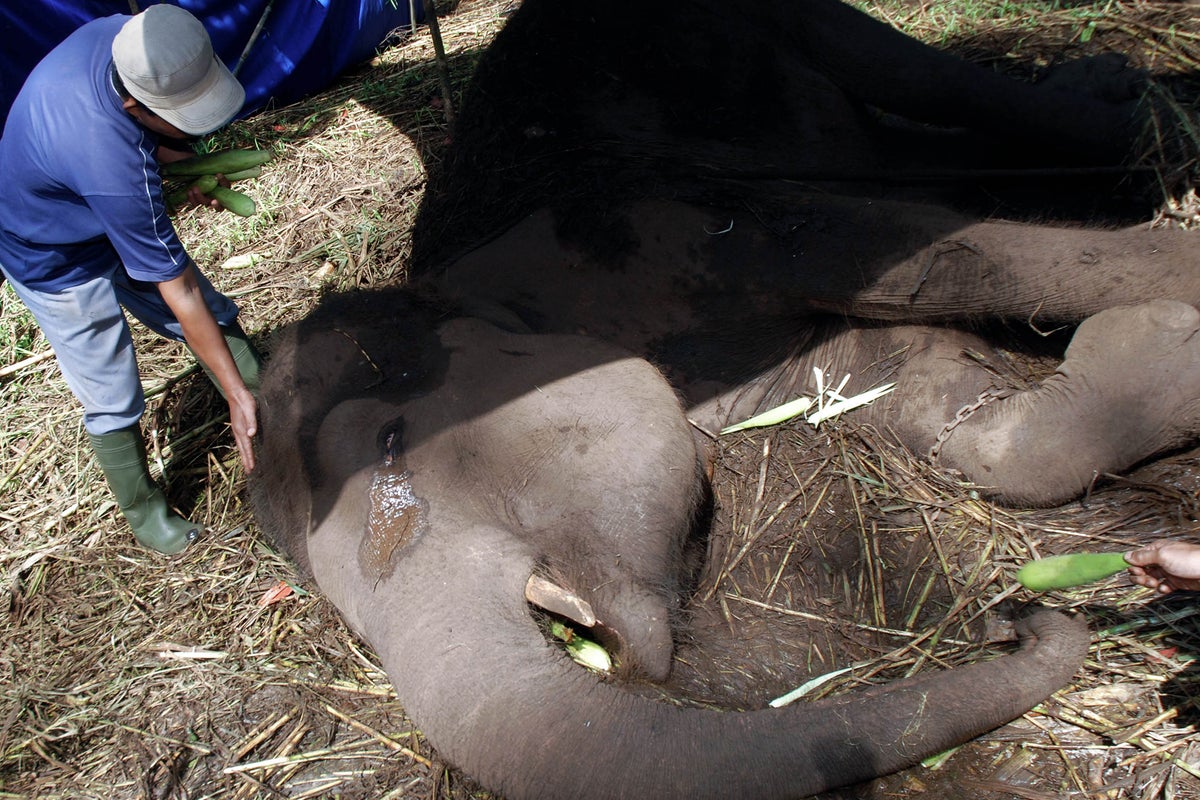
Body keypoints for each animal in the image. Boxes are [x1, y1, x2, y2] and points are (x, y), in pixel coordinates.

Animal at [250, 0, 1200, 797]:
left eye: (392, 439)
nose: (1020, 624)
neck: (458, 279)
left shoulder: (663, 221)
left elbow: (931, 261)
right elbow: (913, 388)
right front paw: (1156, 342)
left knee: (914, 74)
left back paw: (1129, 112)